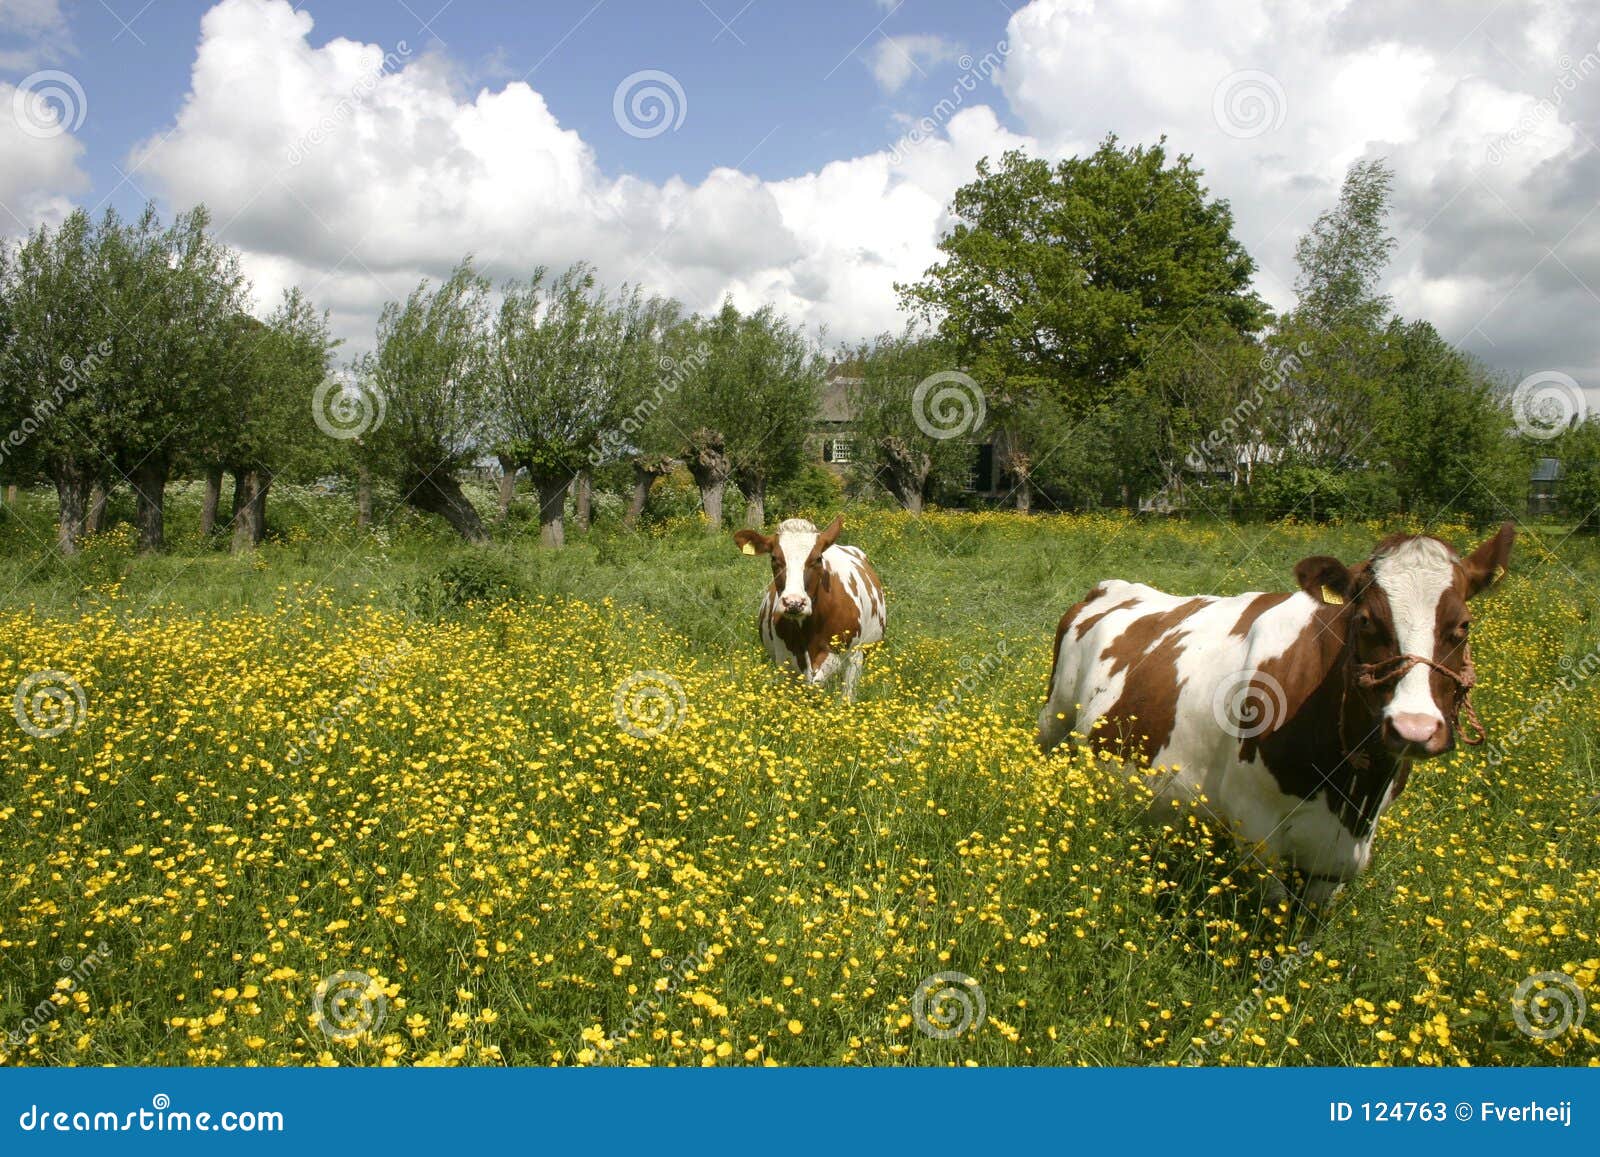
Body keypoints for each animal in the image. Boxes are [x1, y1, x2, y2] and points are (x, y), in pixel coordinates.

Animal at [732, 516, 886, 700]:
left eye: (818, 558)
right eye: (774, 558)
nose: (794, 602)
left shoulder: (854, 657)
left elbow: (846, 696)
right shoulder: (784, 662)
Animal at [1037, 523, 1515, 904]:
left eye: (1464, 624)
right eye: (1364, 620)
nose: (1414, 729)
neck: (1349, 792)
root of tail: (1112, 586)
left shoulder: (1342, 856)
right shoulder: (1256, 832)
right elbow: (1273, 911)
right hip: (1052, 723)